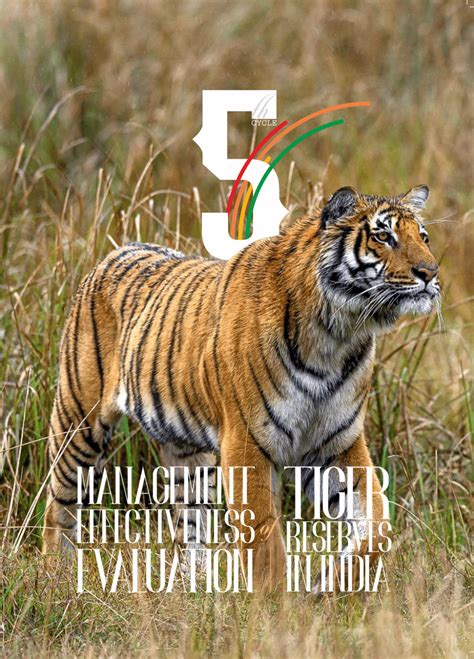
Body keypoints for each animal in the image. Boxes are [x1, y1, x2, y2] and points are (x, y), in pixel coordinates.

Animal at [42, 184, 440, 591]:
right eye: (384, 237)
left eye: (423, 237)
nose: (430, 272)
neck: (338, 334)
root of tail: (117, 251)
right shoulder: (247, 440)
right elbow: (263, 538)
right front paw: (277, 603)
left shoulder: (336, 442)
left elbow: (377, 525)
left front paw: (327, 585)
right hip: (78, 420)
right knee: (59, 503)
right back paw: (56, 578)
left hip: (188, 452)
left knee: (189, 521)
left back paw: (197, 584)